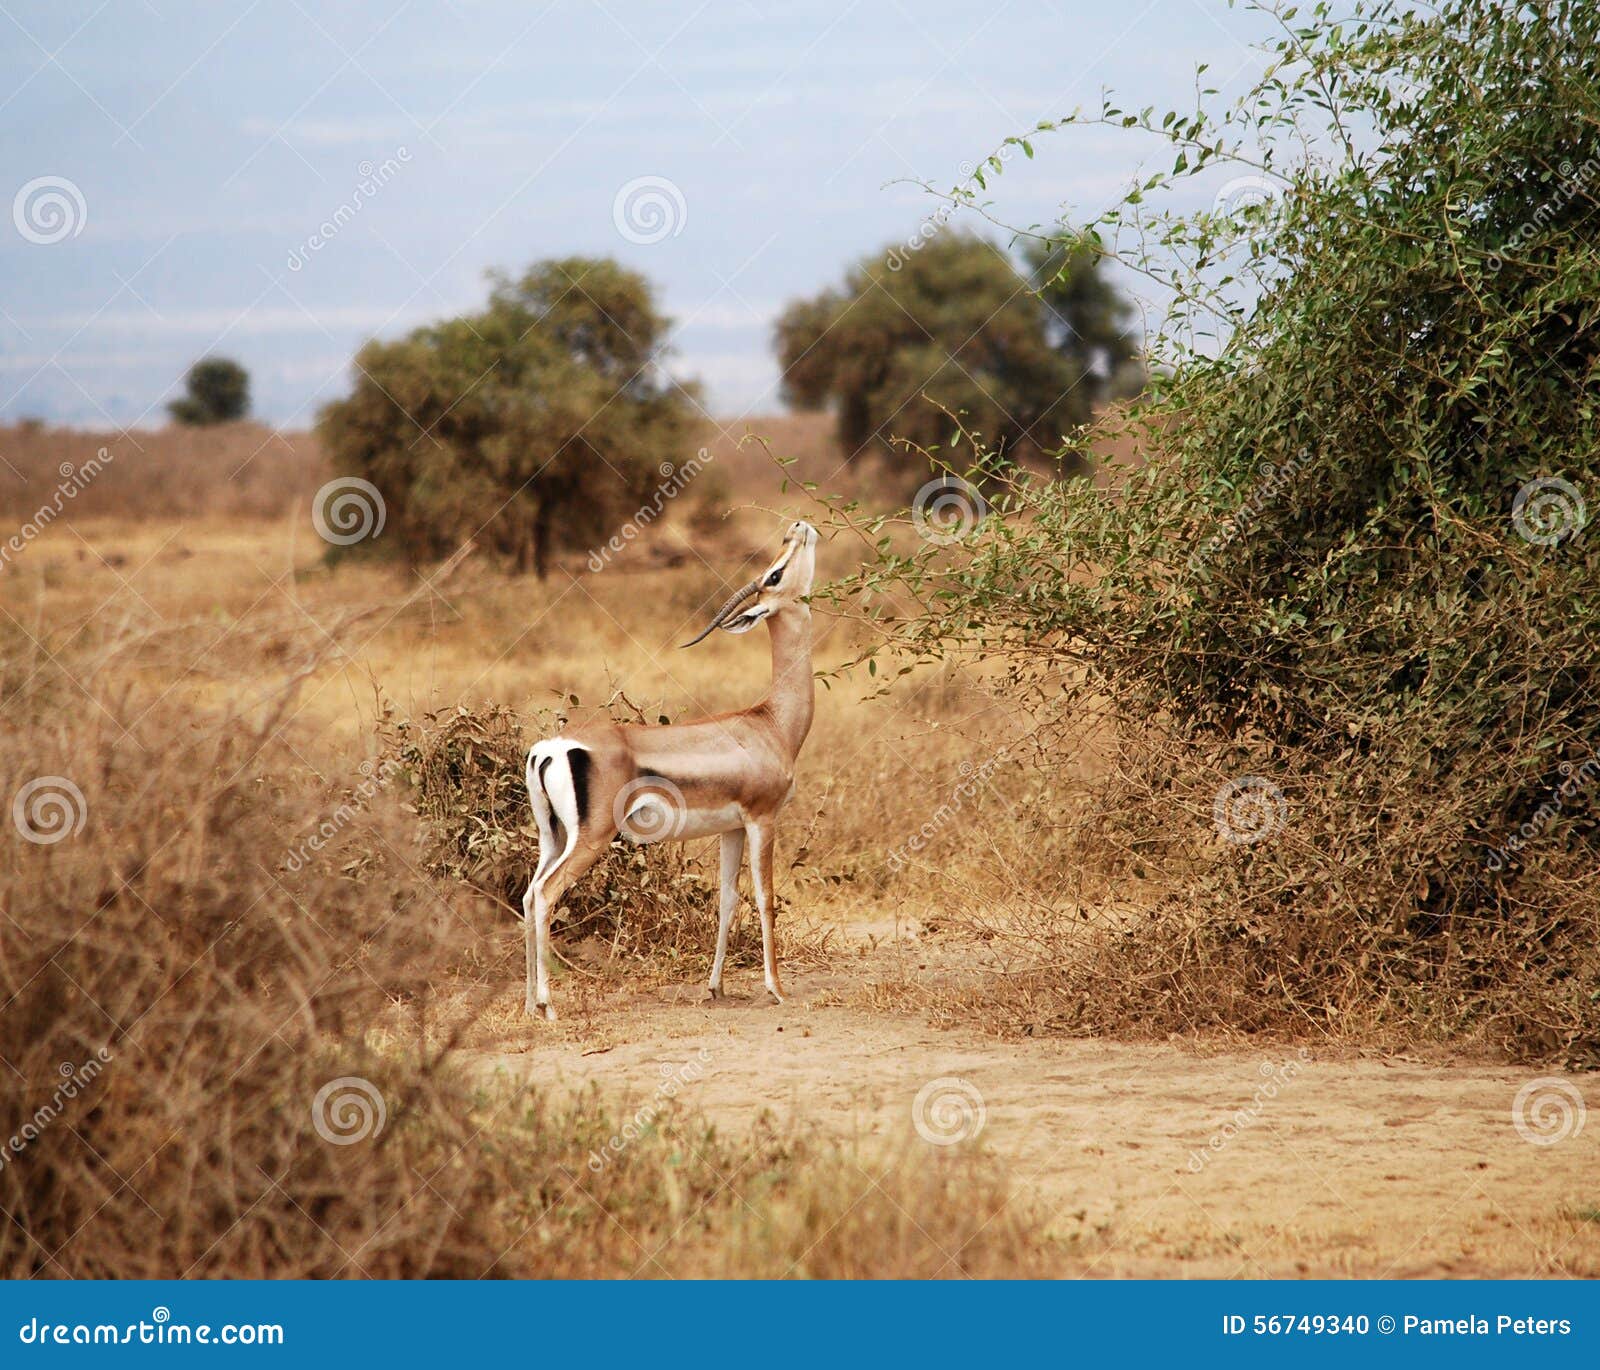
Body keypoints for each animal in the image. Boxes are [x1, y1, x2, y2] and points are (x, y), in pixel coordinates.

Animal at [520, 520, 819, 1020]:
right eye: (774, 574)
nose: (797, 526)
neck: (771, 722)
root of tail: (551, 748)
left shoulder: (731, 828)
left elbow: (727, 899)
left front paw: (715, 987)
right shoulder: (763, 818)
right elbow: (765, 896)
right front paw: (776, 989)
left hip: (553, 836)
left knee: (529, 892)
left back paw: (527, 1003)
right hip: (590, 838)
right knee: (547, 893)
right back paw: (548, 1005)